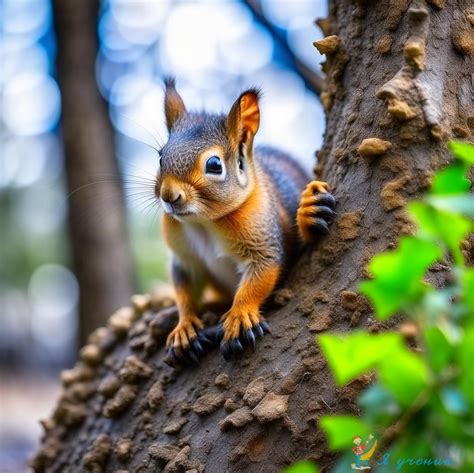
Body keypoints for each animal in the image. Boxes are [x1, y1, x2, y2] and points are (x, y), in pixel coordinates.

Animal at [157, 79, 336, 364]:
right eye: (161, 157)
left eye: (214, 165)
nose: (169, 196)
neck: (204, 222)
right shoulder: (184, 258)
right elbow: (184, 290)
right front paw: (184, 327)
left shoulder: (264, 241)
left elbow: (258, 280)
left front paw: (239, 317)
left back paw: (311, 211)